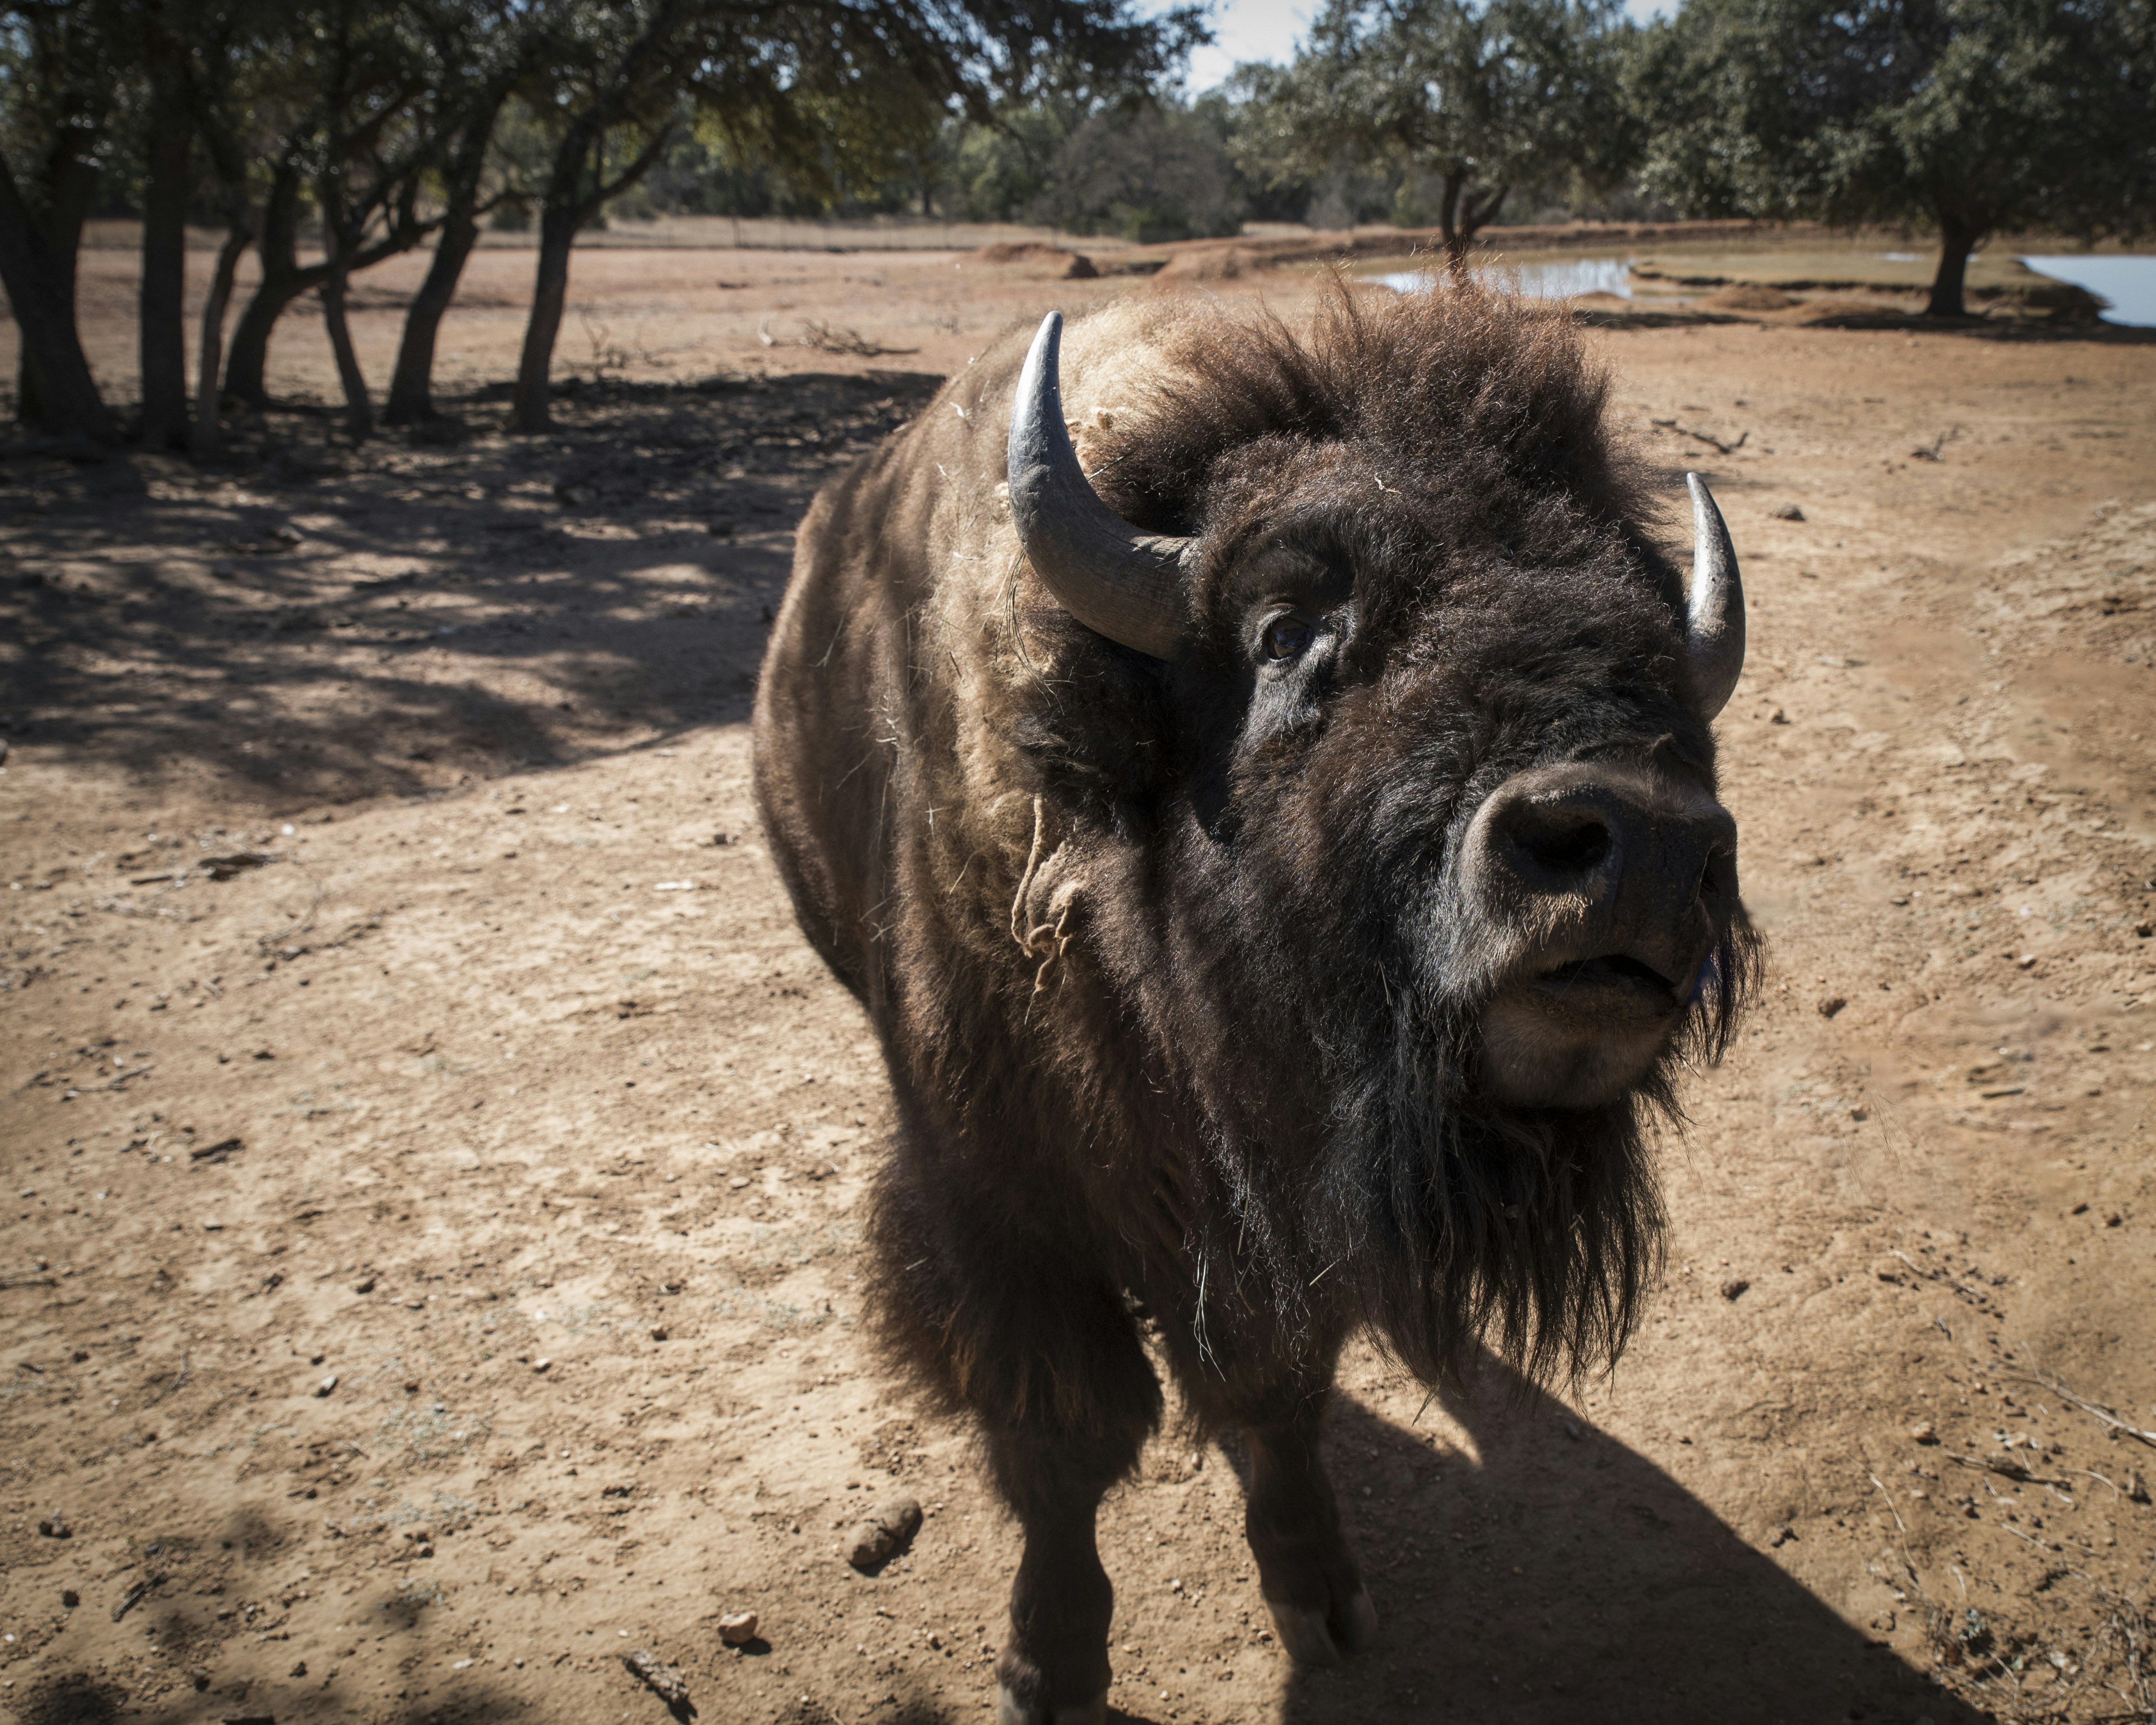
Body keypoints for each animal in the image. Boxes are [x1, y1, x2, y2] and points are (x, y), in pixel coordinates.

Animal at [753, 286, 1757, 1723]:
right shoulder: (995, 1208)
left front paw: (1322, 1599)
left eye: (1660, 667)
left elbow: (1272, 1389)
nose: (1644, 848)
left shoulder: (1284, 1223)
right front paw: (1048, 1667)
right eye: (1286, 631)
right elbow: (1063, 1439)